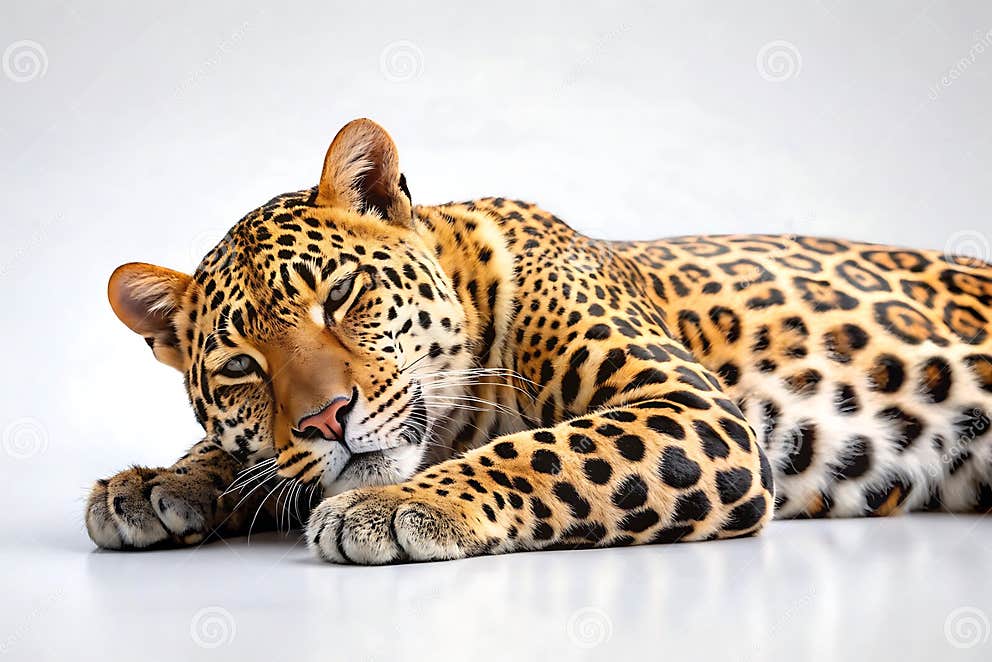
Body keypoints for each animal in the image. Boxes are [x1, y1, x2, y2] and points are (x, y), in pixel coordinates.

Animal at [85, 118, 992, 564]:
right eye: (242, 365)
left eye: (340, 296)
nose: (324, 419)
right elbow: (249, 460)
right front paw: (159, 481)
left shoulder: (693, 408)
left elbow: (544, 453)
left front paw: (396, 504)